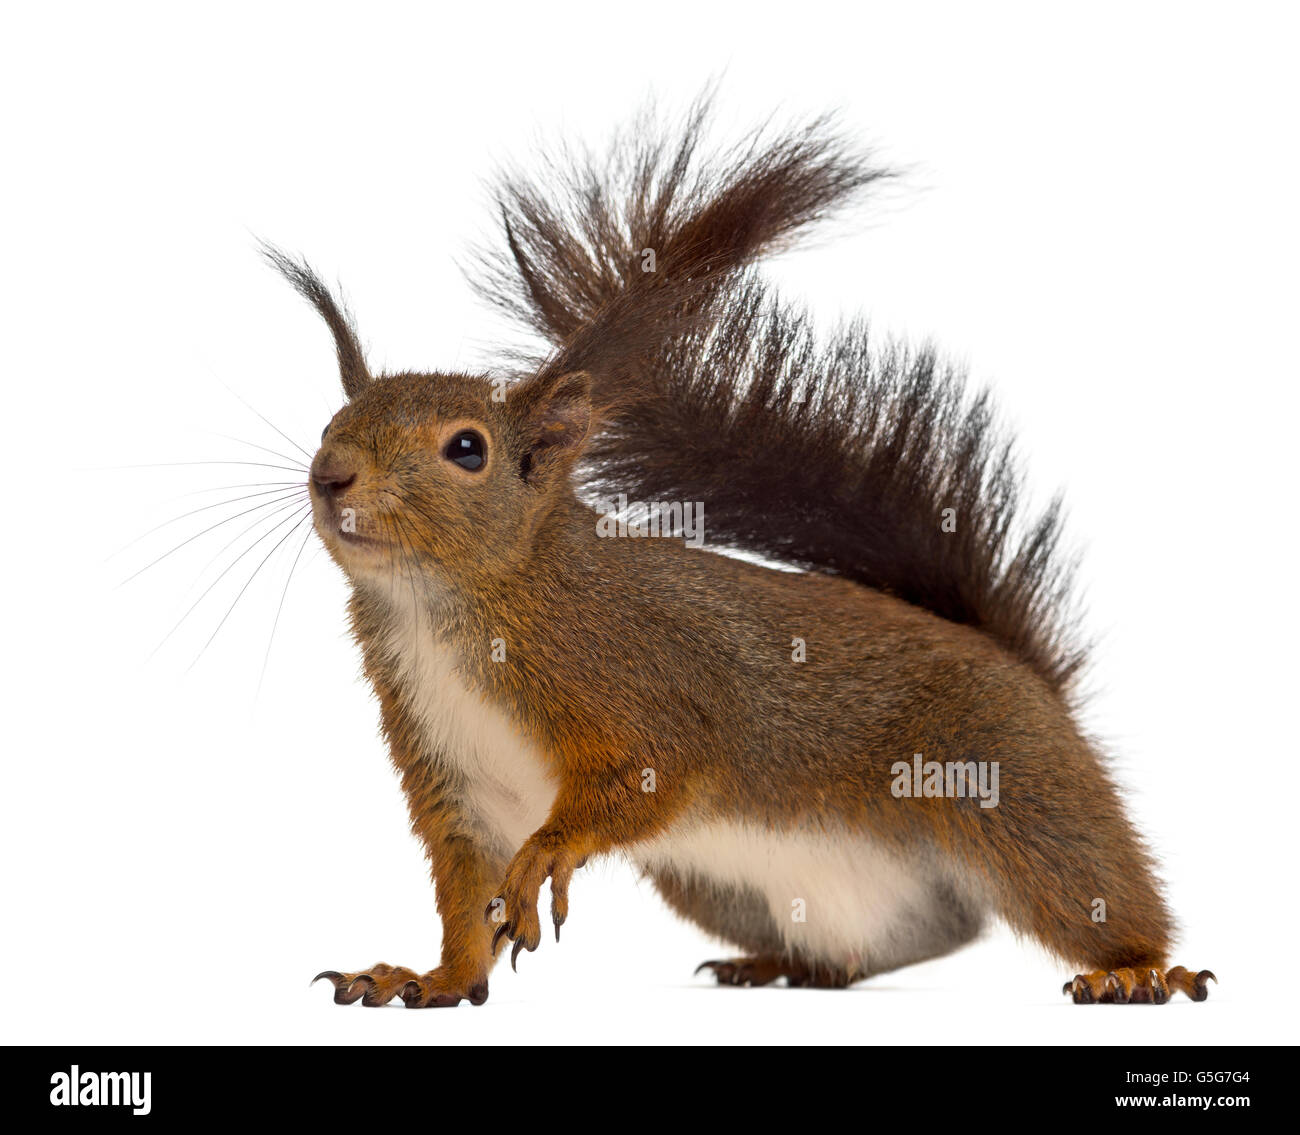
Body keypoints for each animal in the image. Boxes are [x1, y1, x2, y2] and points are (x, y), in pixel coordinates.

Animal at [267, 93, 1214, 1008]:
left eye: (468, 449)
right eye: (331, 421)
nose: (330, 475)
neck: (442, 602)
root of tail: (1034, 682)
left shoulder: (633, 680)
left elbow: (651, 773)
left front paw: (551, 852)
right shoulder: (454, 778)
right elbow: (470, 895)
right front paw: (433, 979)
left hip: (1013, 791)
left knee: (1092, 889)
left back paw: (1136, 970)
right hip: (728, 886)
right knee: (896, 945)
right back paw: (785, 965)